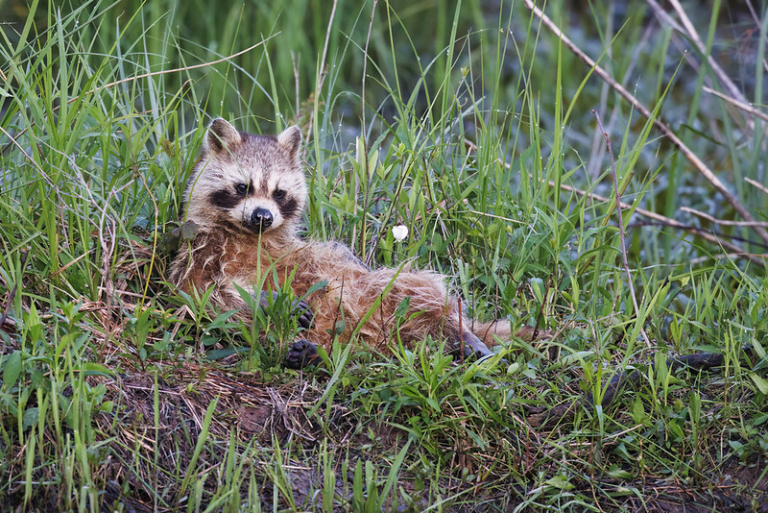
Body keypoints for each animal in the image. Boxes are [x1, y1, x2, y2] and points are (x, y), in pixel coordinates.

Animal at [170, 119, 522, 368]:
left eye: (279, 193)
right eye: (243, 187)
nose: (262, 216)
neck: (250, 237)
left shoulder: (303, 249)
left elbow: (338, 258)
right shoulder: (199, 250)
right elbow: (203, 294)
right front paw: (267, 299)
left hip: (384, 292)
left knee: (416, 288)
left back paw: (461, 332)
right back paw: (315, 354)